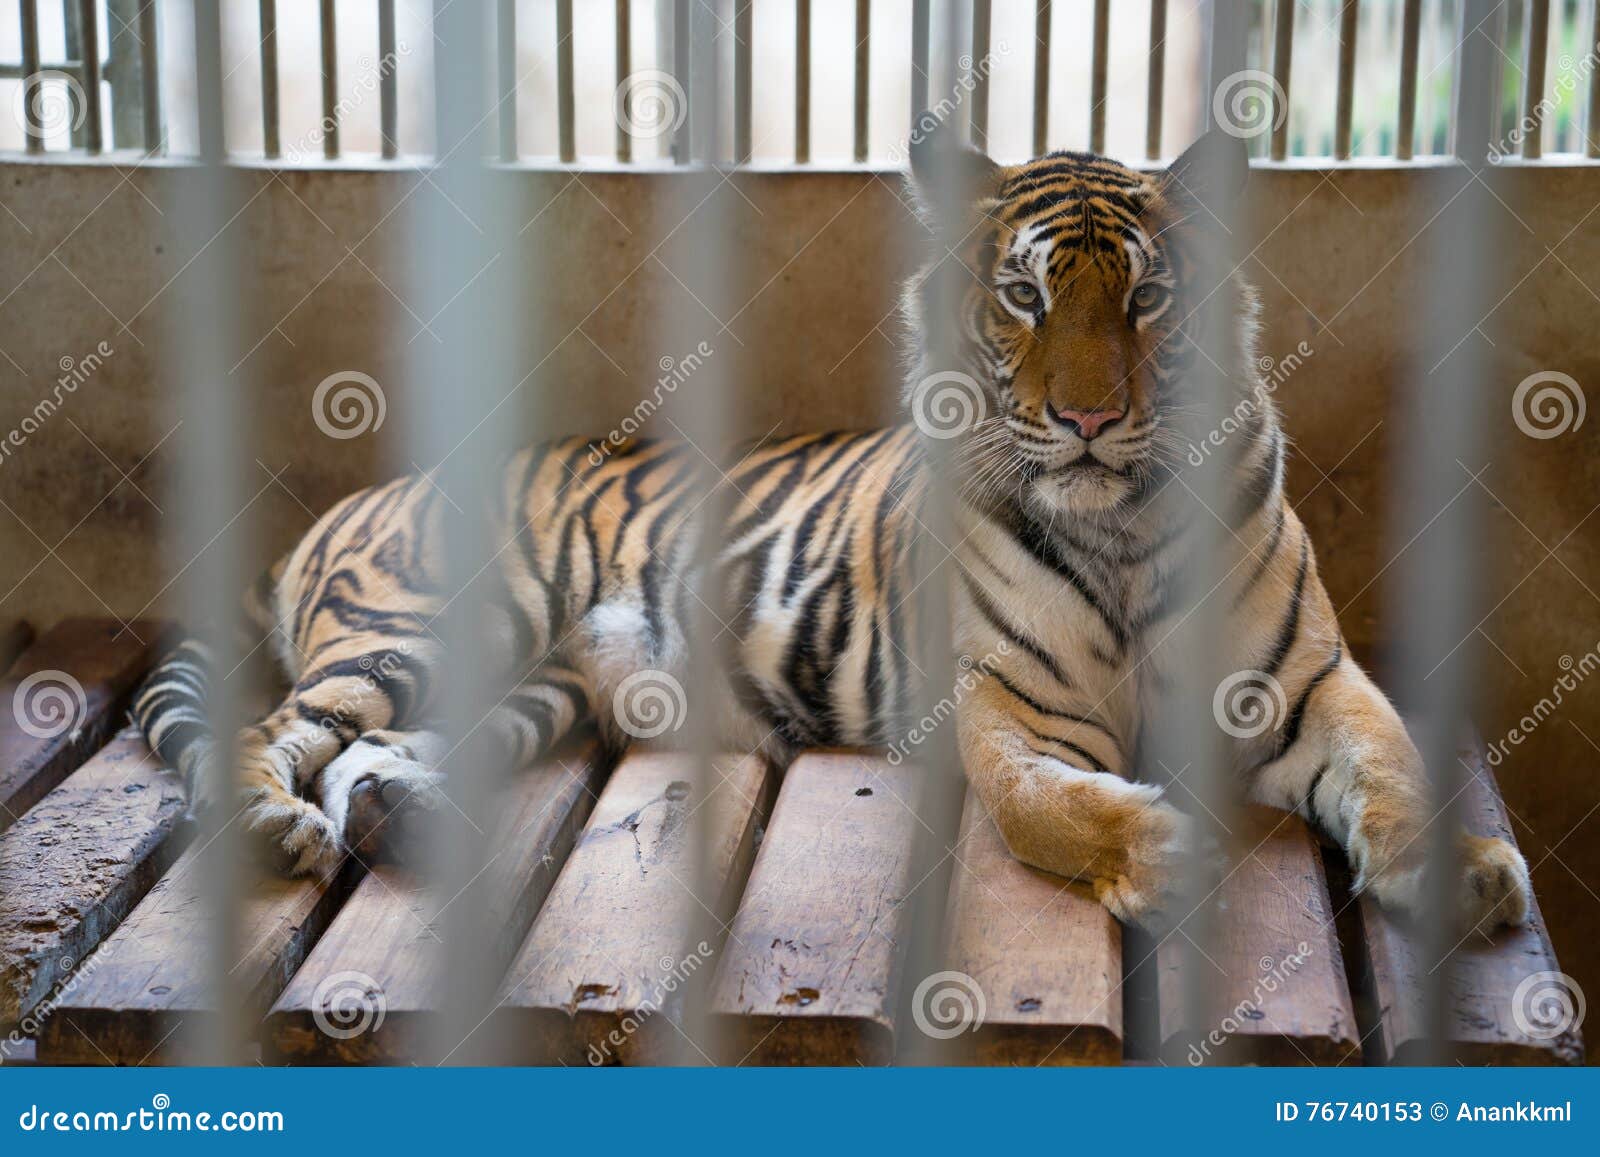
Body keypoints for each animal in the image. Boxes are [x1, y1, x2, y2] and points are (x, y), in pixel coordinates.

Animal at [132, 128, 1531, 934]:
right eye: (1022, 295)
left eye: (1148, 298)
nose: (1086, 417)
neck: (1122, 527)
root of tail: (357, 499)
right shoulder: (1007, 709)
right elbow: (1046, 807)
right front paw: (1163, 847)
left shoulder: (1305, 684)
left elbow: (1393, 765)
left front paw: (1463, 871)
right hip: (438, 617)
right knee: (273, 730)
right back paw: (274, 829)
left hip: (534, 684)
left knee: (371, 755)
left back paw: (397, 818)